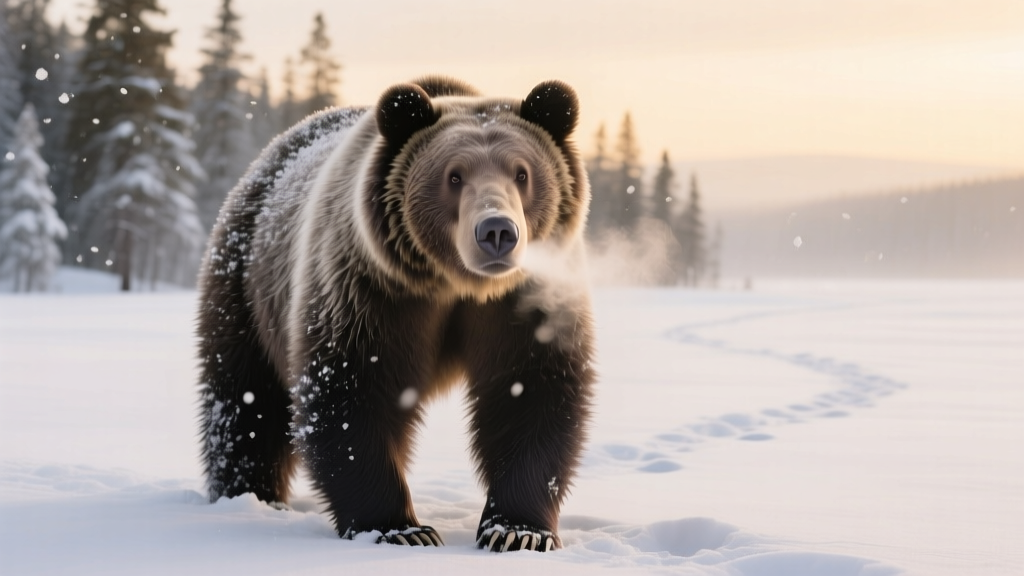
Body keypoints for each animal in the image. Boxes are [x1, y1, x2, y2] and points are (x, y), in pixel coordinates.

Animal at [195, 76, 594, 552]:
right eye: (454, 175)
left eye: (522, 173)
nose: (497, 231)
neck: (456, 285)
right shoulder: (370, 294)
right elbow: (352, 396)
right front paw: (401, 528)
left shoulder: (528, 302)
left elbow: (530, 393)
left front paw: (517, 531)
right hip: (246, 282)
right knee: (246, 399)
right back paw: (248, 495)